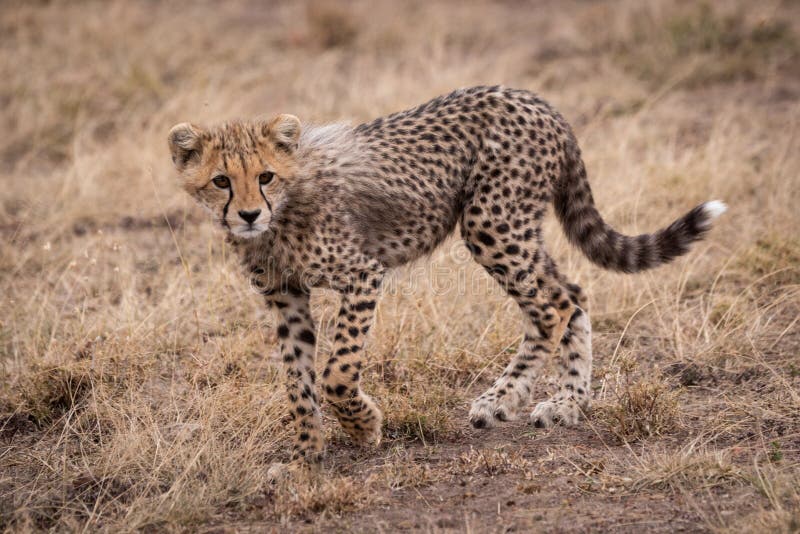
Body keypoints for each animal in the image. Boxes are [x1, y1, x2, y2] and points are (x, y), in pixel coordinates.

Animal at [168, 85, 726, 464]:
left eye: (265, 176)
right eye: (221, 181)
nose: (247, 215)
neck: (281, 214)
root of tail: (534, 99)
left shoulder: (361, 275)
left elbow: (337, 371)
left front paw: (363, 428)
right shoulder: (286, 297)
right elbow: (297, 380)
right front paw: (307, 454)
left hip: (491, 222)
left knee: (553, 307)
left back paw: (503, 400)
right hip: (514, 227)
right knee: (572, 292)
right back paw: (568, 403)